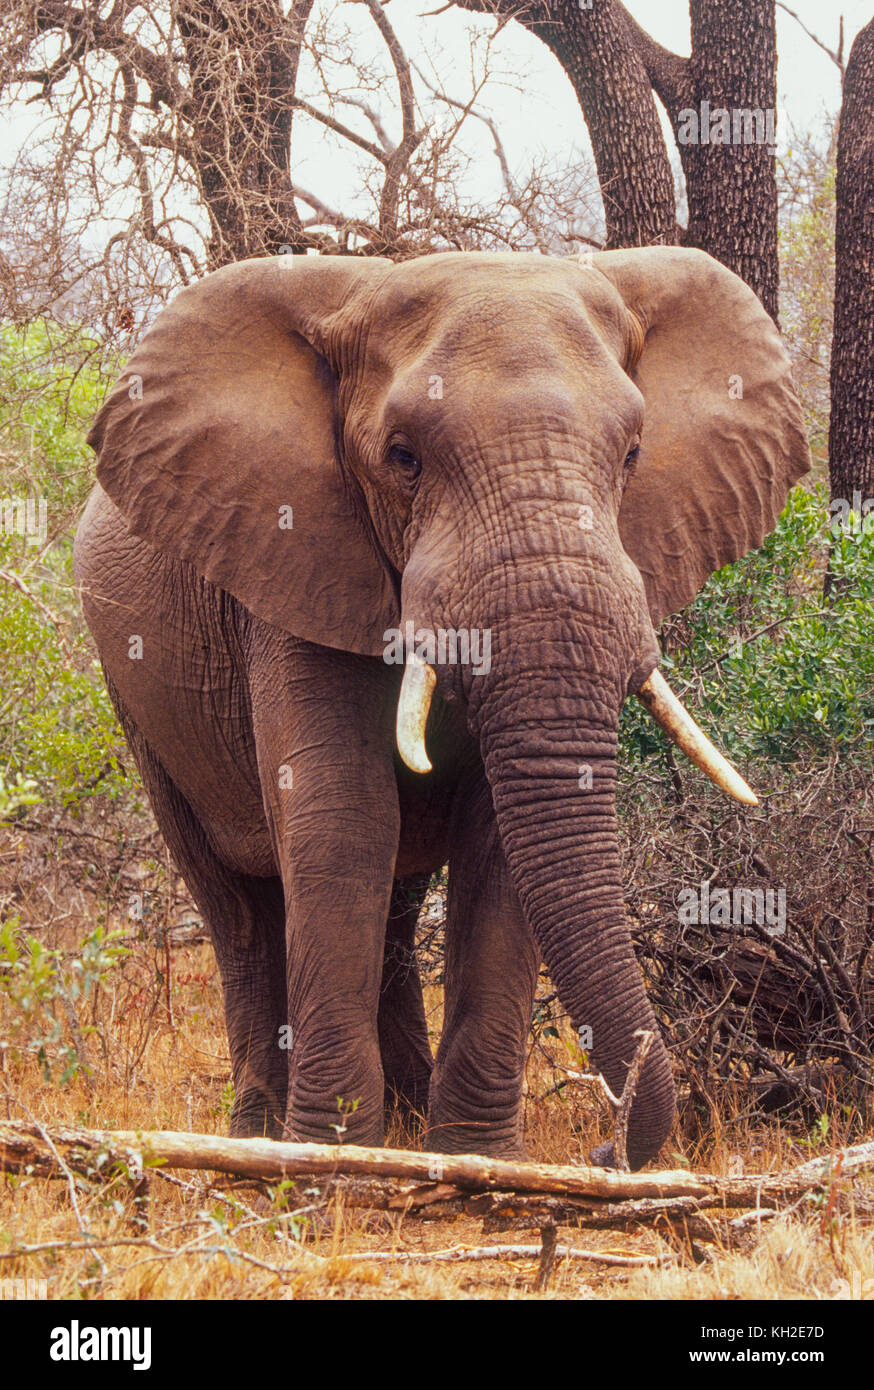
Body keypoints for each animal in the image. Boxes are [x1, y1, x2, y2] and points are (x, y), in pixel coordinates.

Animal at [74, 247, 809, 1169]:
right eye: (402, 457)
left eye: (635, 453)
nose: (606, 1153)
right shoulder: (291, 561)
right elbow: (340, 816)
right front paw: (332, 1161)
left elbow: (496, 841)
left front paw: (476, 1162)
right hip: (136, 698)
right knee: (238, 908)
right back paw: (261, 1133)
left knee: (393, 904)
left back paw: (407, 1121)